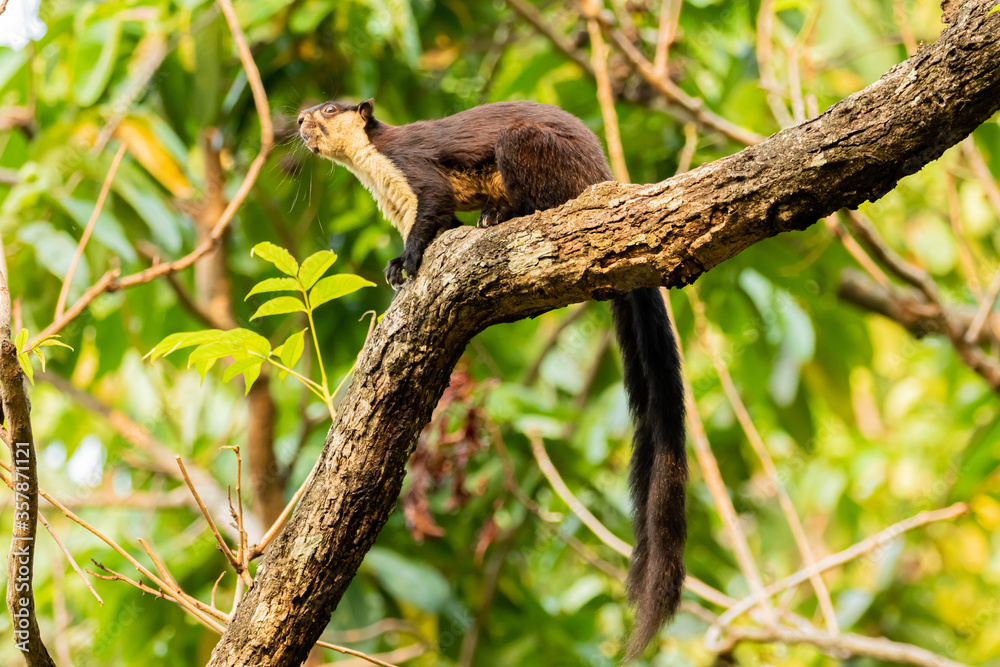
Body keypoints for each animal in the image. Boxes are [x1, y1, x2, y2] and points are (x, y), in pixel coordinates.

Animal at [298, 99, 686, 659]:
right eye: (308, 111)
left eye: (328, 108)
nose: (300, 121)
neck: (375, 169)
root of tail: (603, 175)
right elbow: (434, 227)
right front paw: (395, 266)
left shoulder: (416, 171)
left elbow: (434, 212)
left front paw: (407, 263)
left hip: (522, 147)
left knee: (544, 201)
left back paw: (500, 214)